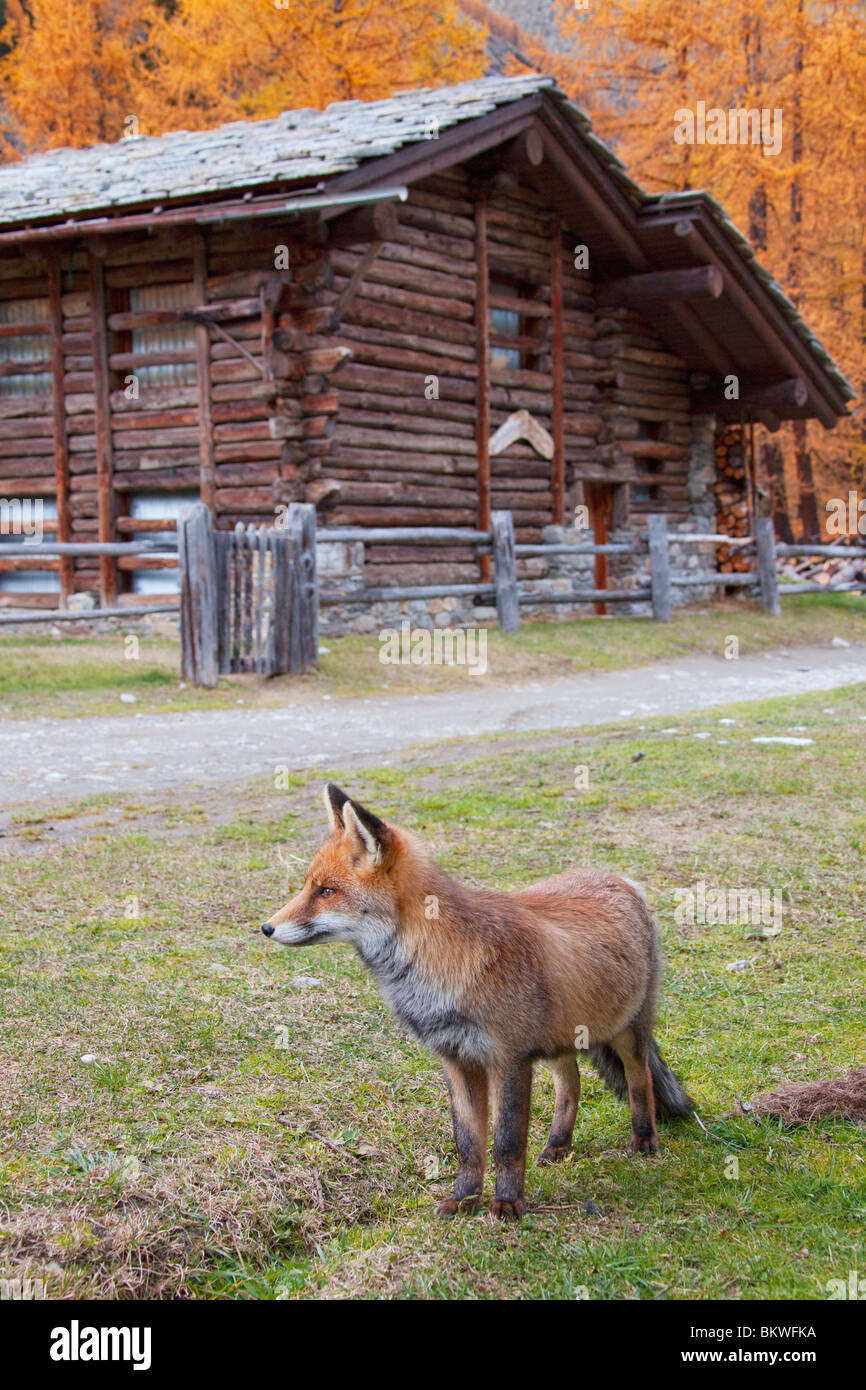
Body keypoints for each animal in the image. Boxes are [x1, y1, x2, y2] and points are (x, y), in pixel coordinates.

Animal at [261, 783, 693, 1220]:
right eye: (309, 886)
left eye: (327, 892)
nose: (266, 928)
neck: (439, 963)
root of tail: (621, 880)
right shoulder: (458, 1060)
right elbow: (468, 1144)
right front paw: (465, 1199)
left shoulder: (509, 1061)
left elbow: (506, 1142)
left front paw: (506, 1204)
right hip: (560, 1041)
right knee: (570, 1083)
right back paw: (557, 1145)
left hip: (629, 1034)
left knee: (640, 1080)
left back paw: (644, 1140)